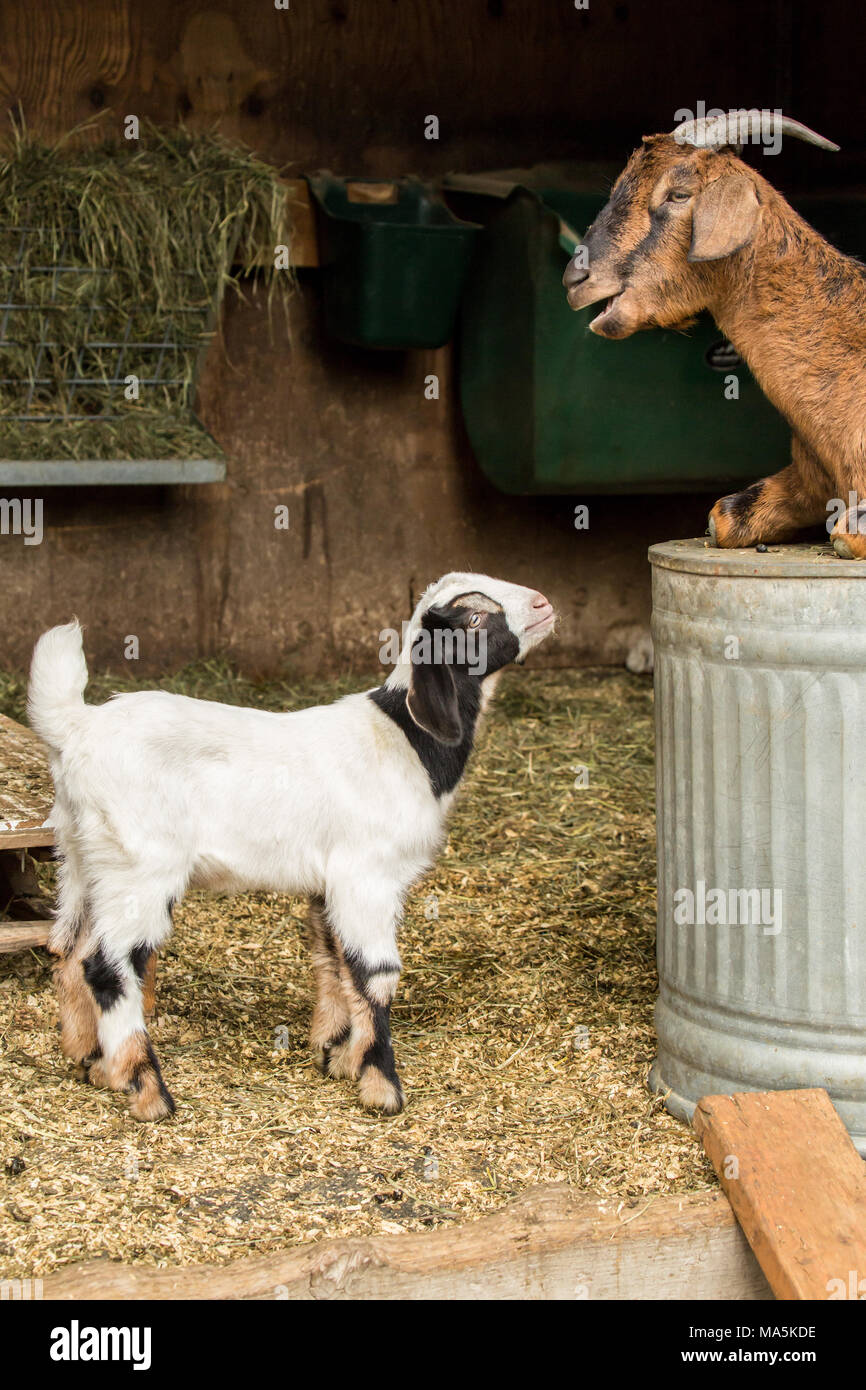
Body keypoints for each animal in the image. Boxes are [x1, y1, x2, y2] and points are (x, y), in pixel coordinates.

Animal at [28, 575, 555, 1121]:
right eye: (473, 618)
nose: (544, 603)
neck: (407, 740)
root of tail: (76, 728)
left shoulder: (330, 886)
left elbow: (337, 964)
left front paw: (337, 1055)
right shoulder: (367, 877)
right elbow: (377, 974)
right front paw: (382, 1087)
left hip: (86, 859)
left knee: (70, 956)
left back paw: (92, 1062)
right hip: (140, 867)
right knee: (108, 968)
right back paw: (147, 1091)